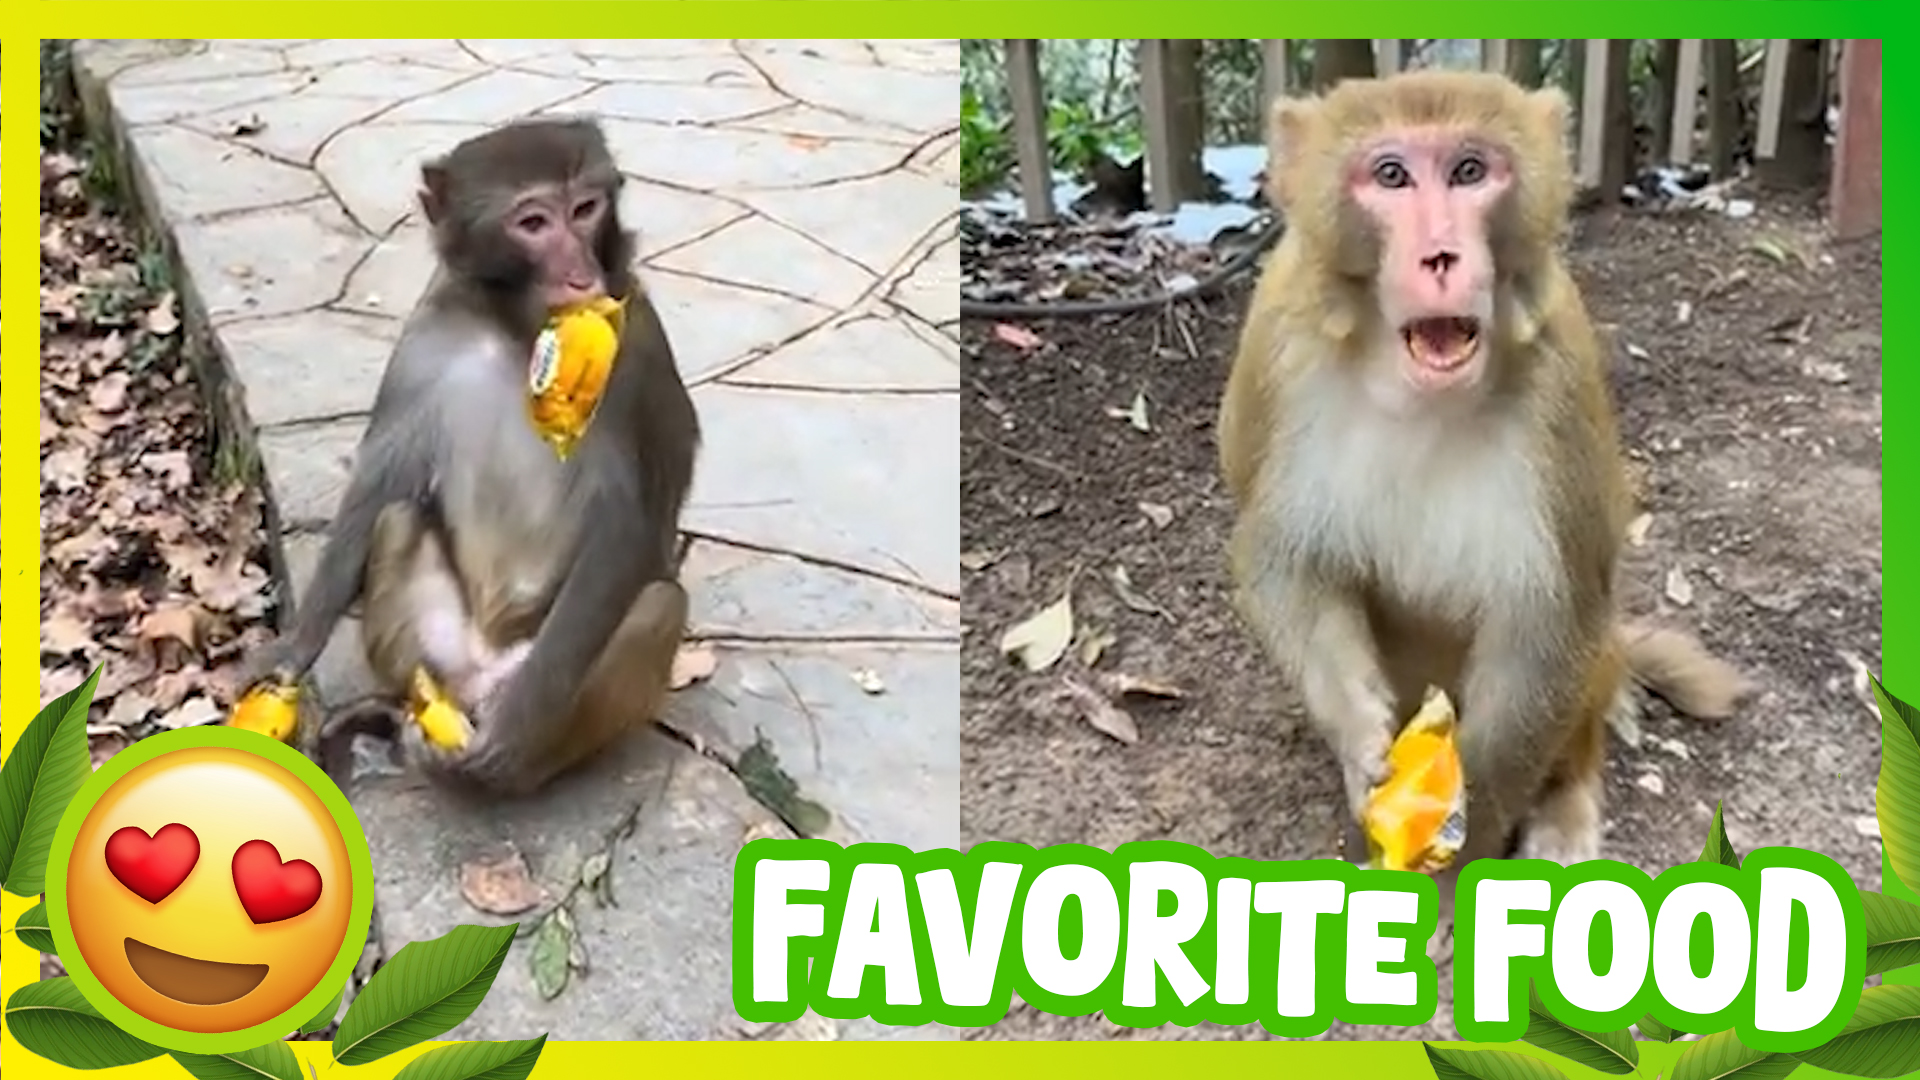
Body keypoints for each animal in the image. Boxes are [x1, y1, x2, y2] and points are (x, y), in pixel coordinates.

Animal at [249, 117, 700, 797]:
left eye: (586, 210)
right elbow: (382, 479)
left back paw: (506, 766)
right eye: (533, 222)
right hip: (442, 652)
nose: (580, 275)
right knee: (399, 518)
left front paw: (515, 730)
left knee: (657, 606)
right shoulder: (428, 333)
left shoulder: (637, 351)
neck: (516, 329)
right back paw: (399, 714)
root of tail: (477, 676)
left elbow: (632, 519)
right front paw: (294, 648)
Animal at [1215, 72, 1748, 951]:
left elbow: (1555, 615)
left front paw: (1457, 862)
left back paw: (1565, 800)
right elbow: (1282, 561)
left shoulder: (1562, 376)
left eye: (1469, 171)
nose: (1440, 255)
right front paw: (1360, 744)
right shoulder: (1277, 346)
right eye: (1391, 175)